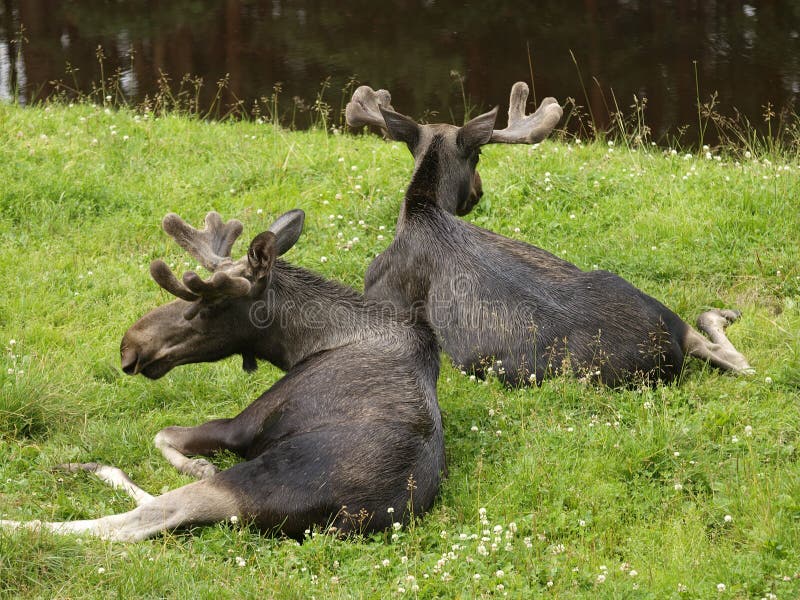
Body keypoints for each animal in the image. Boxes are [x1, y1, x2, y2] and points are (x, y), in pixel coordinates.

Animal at [1, 209, 445, 541]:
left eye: (206, 304)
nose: (130, 345)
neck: (307, 344)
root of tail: (346, 520)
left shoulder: (244, 426)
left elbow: (162, 433)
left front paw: (197, 462)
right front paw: (199, 463)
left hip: (245, 482)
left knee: (134, 522)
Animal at [346, 82, 753, 387]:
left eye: (479, 157)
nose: (478, 192)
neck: (422, 208)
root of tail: (667, 348)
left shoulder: (381, 292)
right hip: (641, 296)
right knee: (735, 359)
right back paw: (723, 313)